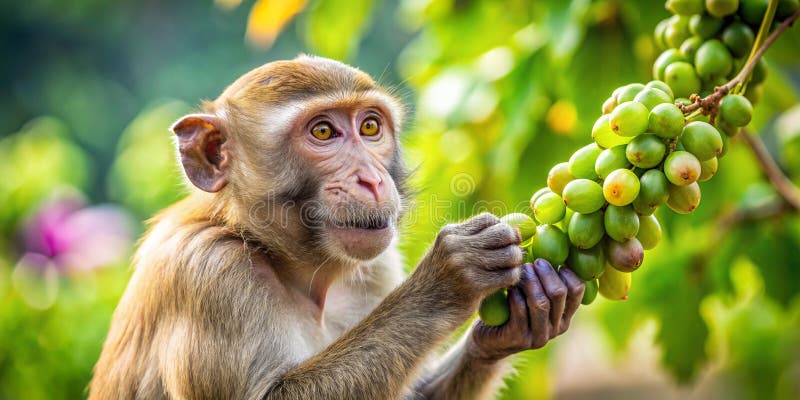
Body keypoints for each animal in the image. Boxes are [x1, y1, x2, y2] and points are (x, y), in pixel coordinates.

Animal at [89, 55, 585, 400]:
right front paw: (447, 277)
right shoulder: (209, 272)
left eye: (370, 127)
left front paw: (511, 327)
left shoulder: (377, 267)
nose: (372, 178)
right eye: (323, 132)